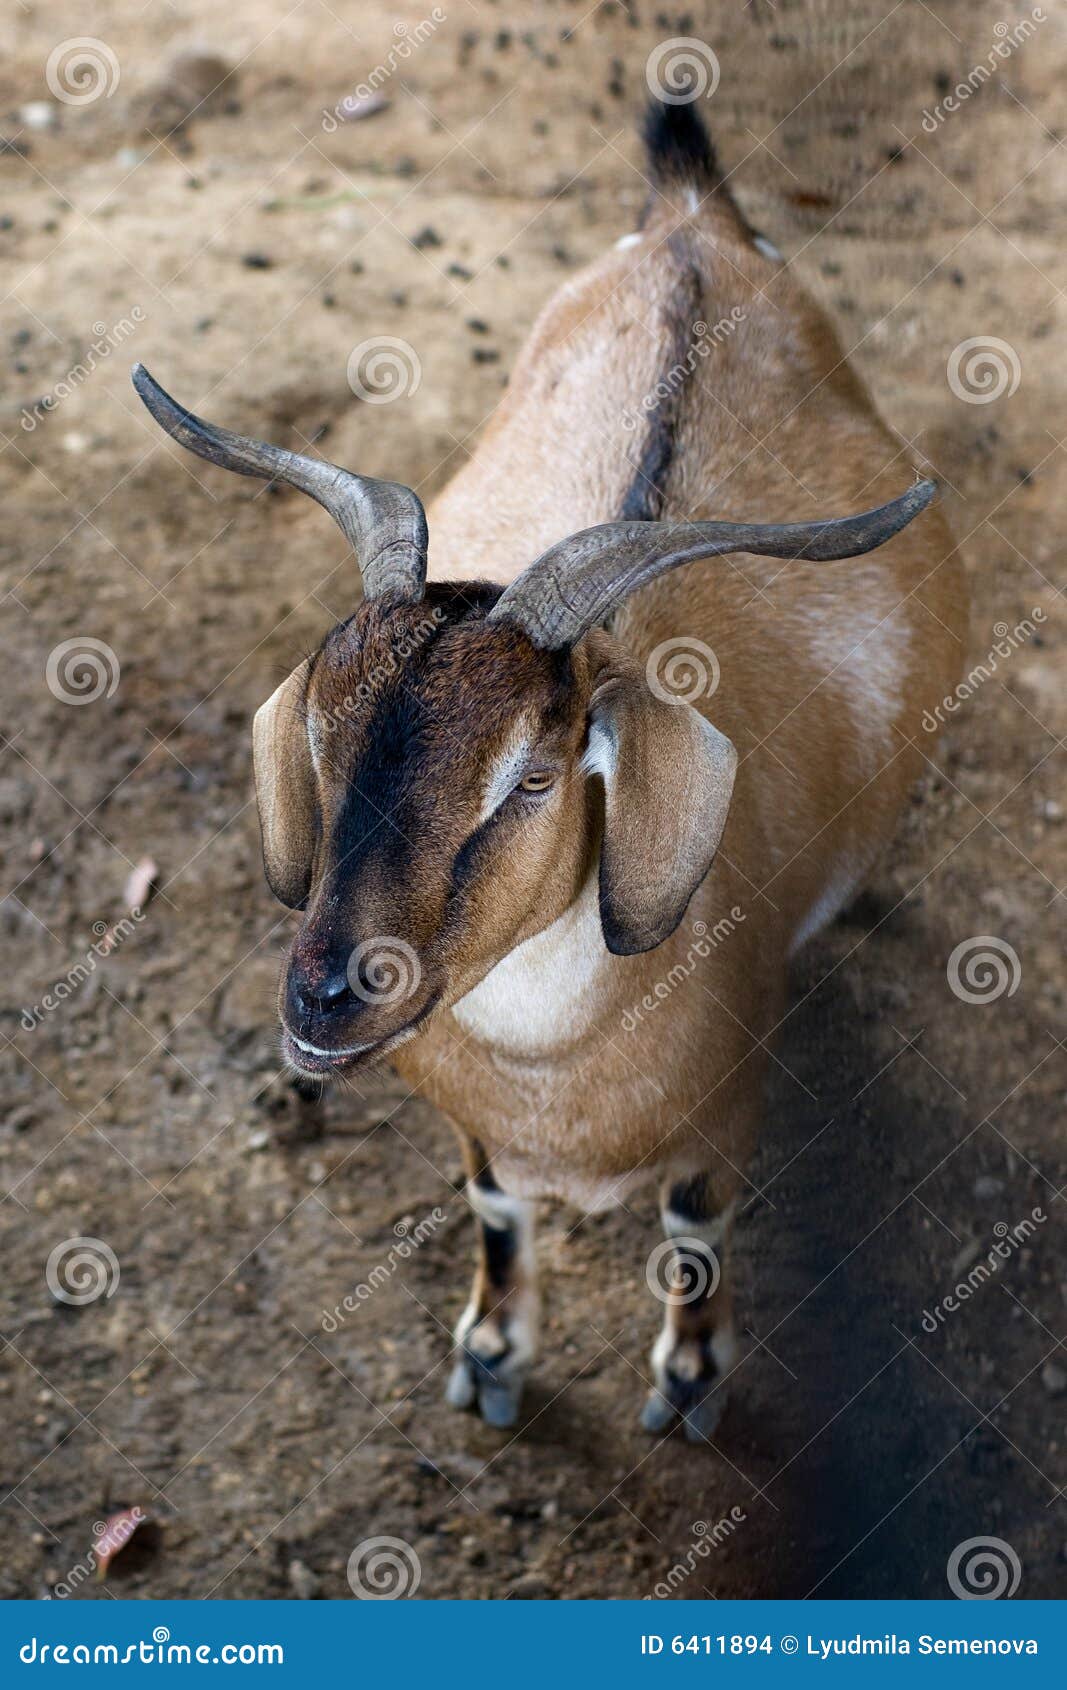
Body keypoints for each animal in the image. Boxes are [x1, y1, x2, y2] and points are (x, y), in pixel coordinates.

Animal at [133, 99, 966, 1441]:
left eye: (531, 776)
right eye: (318, 734)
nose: (325, 999)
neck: (554, 1069)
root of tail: (688, 223)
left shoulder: (725, 1109)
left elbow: (695, 1227)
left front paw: (687, 1381)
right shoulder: (478, 1128)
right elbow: (491, 1208)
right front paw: (489, 1356)